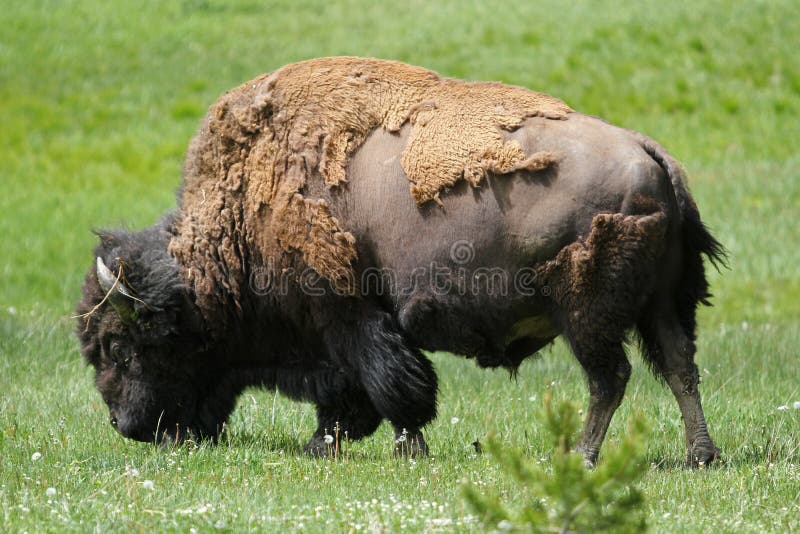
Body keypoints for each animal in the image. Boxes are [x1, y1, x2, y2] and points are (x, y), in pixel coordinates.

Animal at [76, 57, 724, 466]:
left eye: (119, 345)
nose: (125, 426)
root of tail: (649, 153)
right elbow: (359, 394)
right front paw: (327, 443)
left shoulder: (351, 316)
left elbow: (395, 388)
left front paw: (403, 448)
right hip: (664, 304)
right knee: (680, 367)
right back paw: (701, 456)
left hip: (587, 315)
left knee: (610, 378)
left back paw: (583, 456)